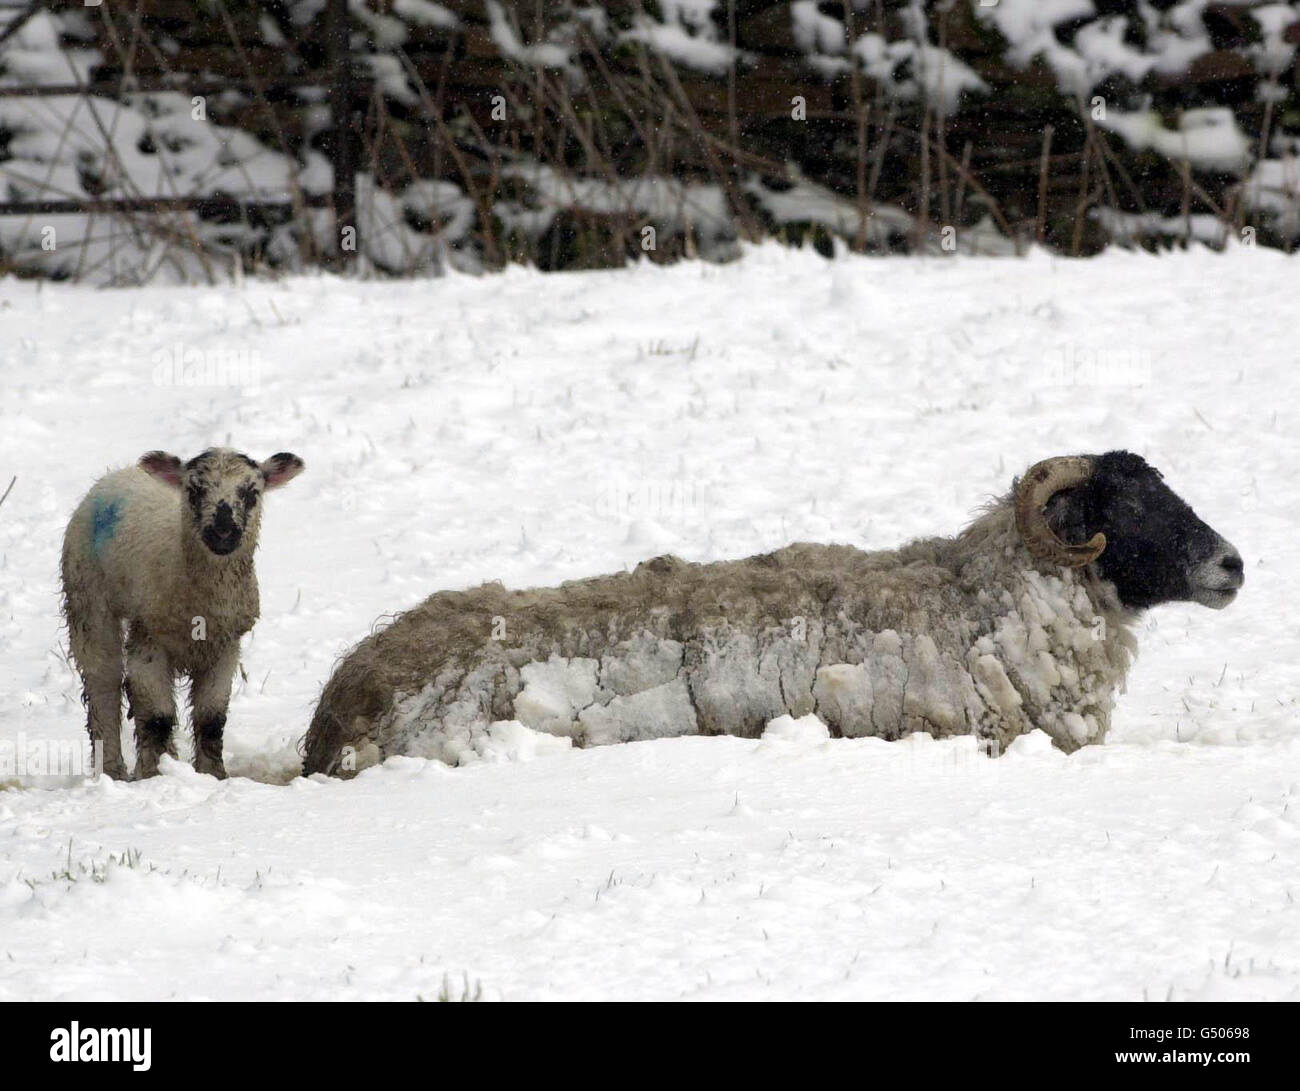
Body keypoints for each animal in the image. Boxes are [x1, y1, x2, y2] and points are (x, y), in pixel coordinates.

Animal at [62, 447, 304, 781]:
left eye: (251, 493)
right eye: (195, 490)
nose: (223, 532)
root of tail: (119, 472)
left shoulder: (225, 646)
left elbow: (211, 718)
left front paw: (212, 774)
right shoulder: (149, 638)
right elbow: (157, 716)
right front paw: (155, 774)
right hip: (87, 595)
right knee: (103, 682)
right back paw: (112, 771)